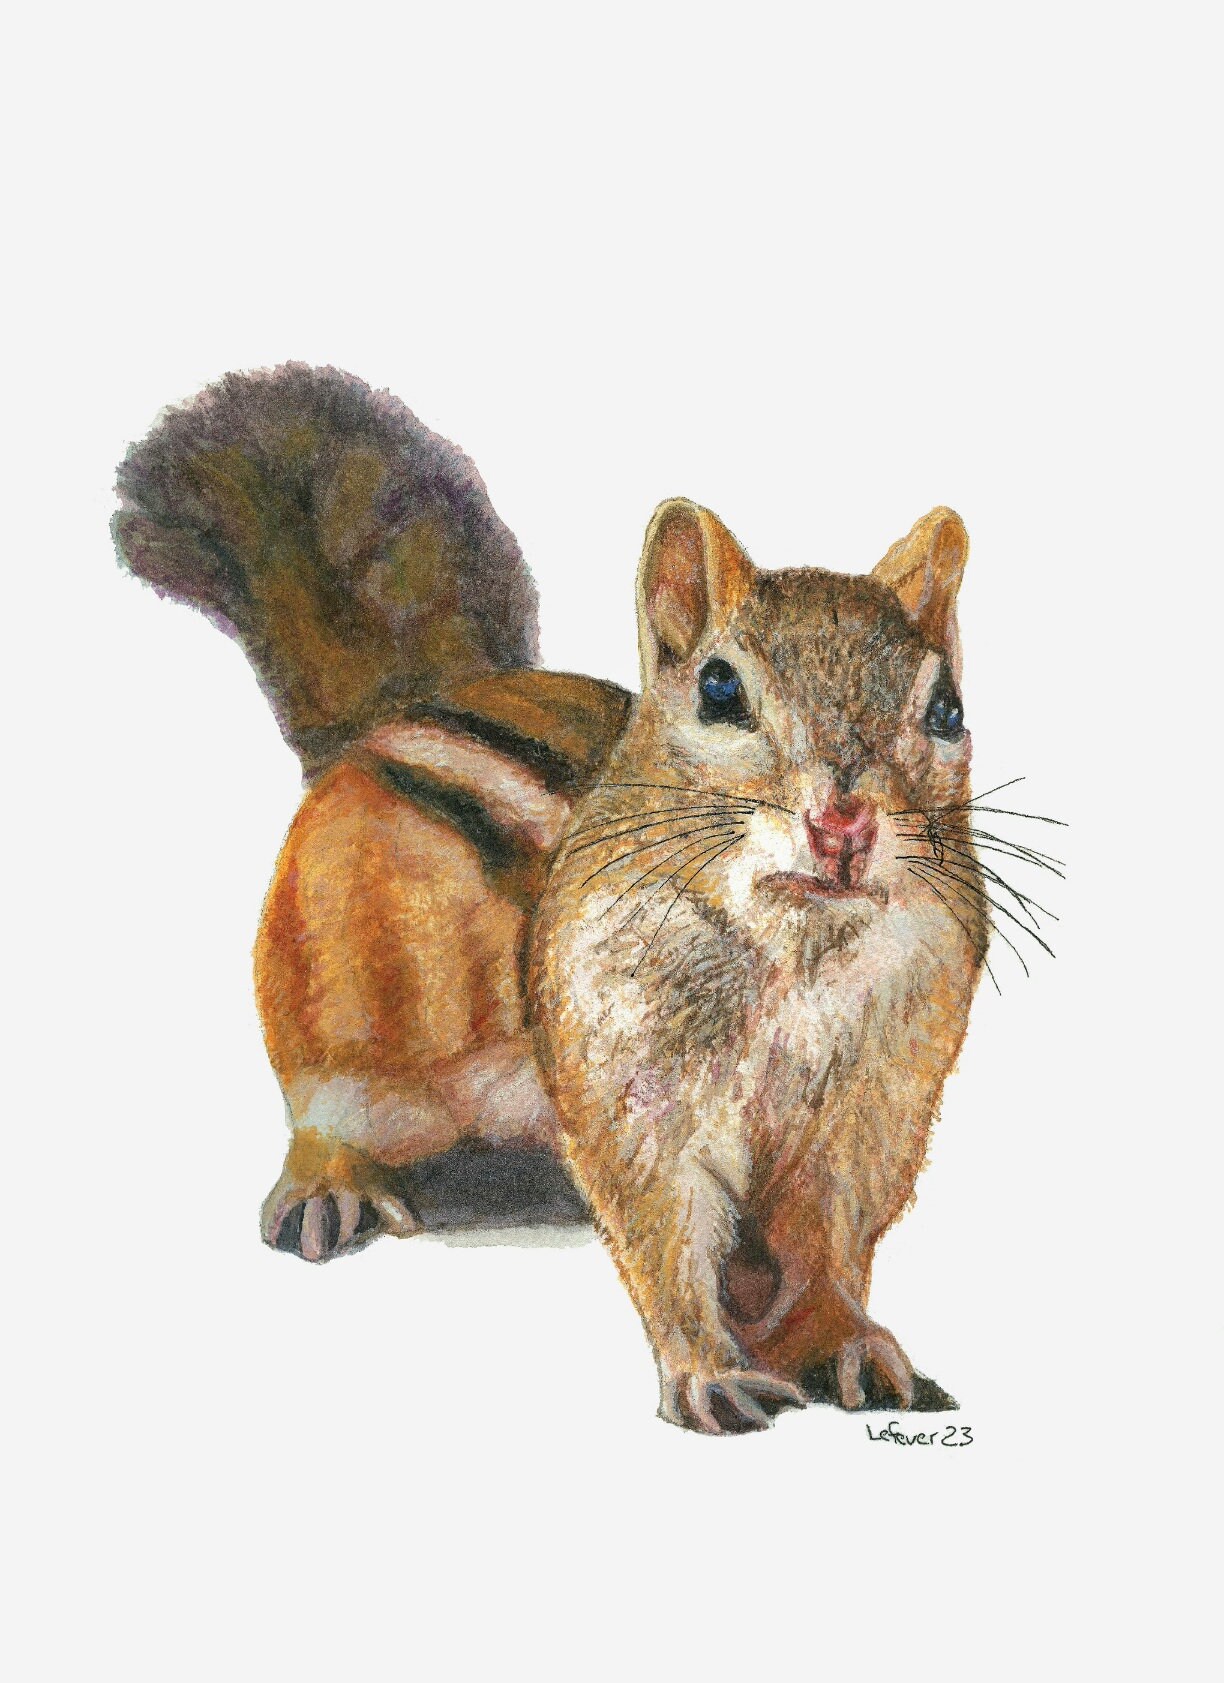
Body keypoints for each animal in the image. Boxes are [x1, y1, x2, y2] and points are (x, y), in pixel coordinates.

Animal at [115, 364, 991, 1429]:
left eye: (947, 708)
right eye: (718, 688)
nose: (846, 824)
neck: (797, 953)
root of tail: (390, 713)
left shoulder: (873, 1106)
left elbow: (829, 1240)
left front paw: (843, 1337)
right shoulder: (629, 1080)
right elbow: (662, 1227)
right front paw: (707, 1366)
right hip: (345, 1035)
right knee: (326, 1113)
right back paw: (329, 1183)